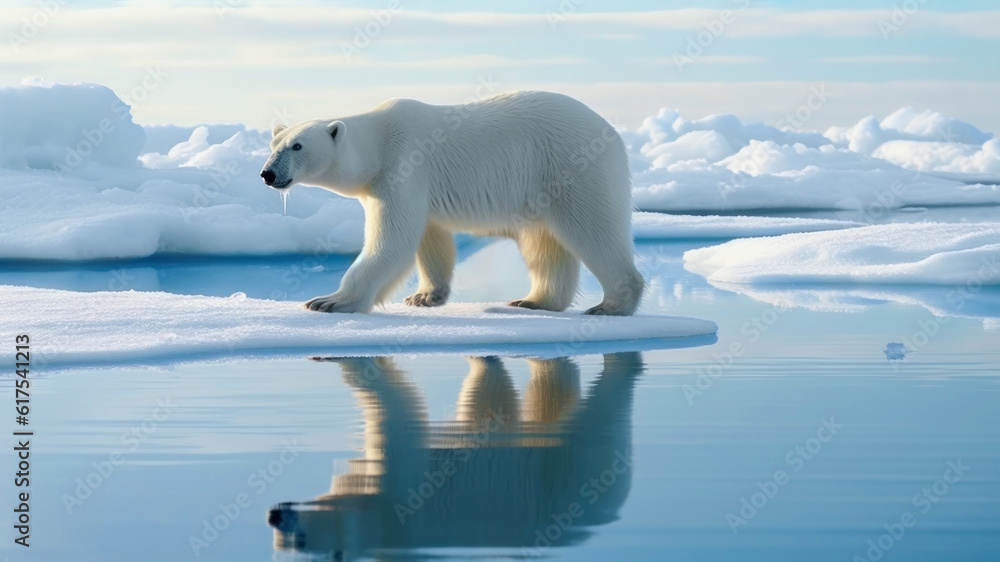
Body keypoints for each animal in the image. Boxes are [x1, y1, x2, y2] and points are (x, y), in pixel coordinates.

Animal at [260, 90, 644, 315]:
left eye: (297, 146)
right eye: (274, 144)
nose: (267, 174)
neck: (379, 144)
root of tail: (611, 133)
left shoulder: (402, 169)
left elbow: (392, 242)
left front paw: (328, 300)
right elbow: (430, 239)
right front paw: (425, 297)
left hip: (572, 167)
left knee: (594, 230)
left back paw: (611, 305)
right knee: (545, 244)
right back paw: (534, 300)